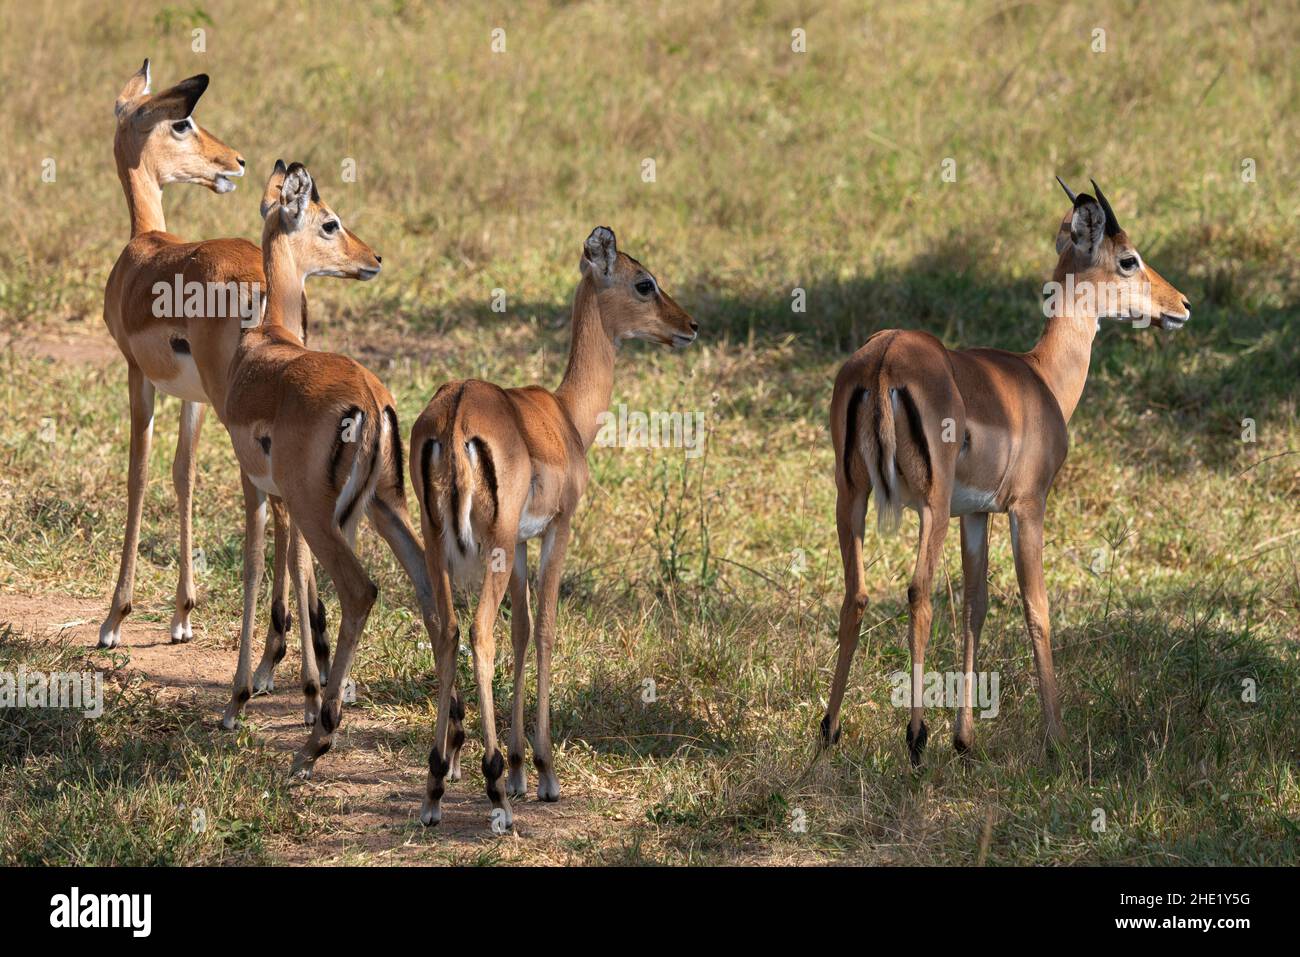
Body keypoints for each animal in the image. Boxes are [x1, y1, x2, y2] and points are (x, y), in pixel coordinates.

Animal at [100, 60, 327, 692]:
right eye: (182, 122)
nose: (236, 162)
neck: (144, 248)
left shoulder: (138, 376)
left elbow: (138, 474)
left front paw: (114, 619)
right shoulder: (192, 397)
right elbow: (183, 474)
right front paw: (182, 614)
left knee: (279, 506)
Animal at [218, 162, 438, 781]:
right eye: (330, 222)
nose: (374, 257)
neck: (267, 344)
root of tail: (370, 398)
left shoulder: (256, 486)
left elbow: (254, 568)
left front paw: (239, 700)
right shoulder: (297, 502)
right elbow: (294, 570)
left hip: (324, 514)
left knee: (360, 589)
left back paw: (316, 744)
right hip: (384, 508)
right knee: (431, 591)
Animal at [411, 226, 698, 828]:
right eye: (645, 282)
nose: (689, 325)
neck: (566, 416)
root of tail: (454, 415)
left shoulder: (522, 542)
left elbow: (522, 632)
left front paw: (521, 767)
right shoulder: (557, 529)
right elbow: (544, 628)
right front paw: (542, 773)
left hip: (436, 545)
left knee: (449, 631)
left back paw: (435, 790)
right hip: (489, 550)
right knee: (479, 632)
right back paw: (494, 791)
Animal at [822, 179, 1190, 764]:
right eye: (1129, 259)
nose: (1181, 305)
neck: (1040, 377)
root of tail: (883, 361)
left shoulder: (977, 515)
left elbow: (976, 606)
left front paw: (966, 738)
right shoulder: (1027, 506)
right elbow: (1036, 606)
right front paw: (1057, 738)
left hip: (852, 497)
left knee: (855, 595)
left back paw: (830, 732)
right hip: (930, 506)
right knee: (919, 592)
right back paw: (915, 738)